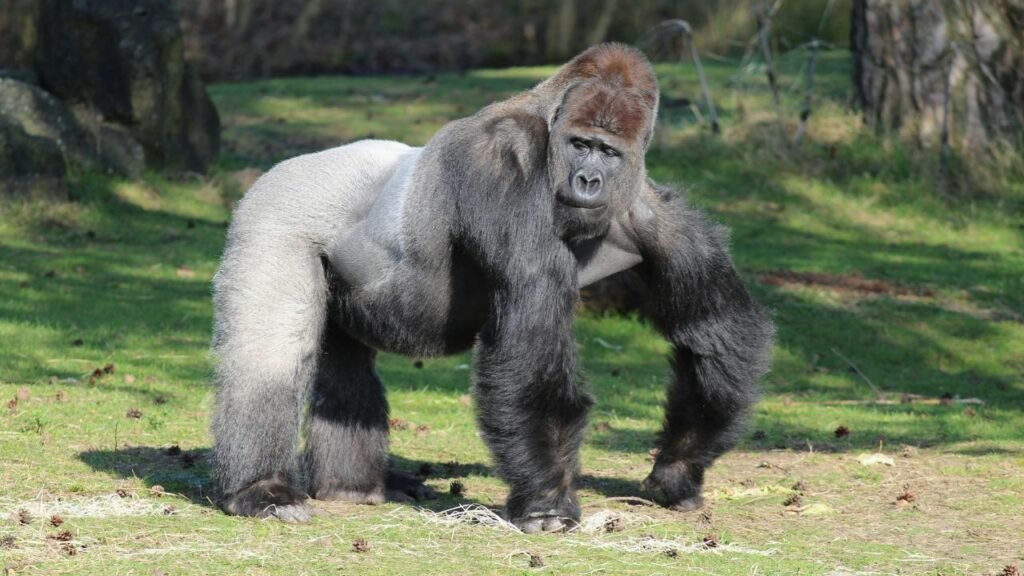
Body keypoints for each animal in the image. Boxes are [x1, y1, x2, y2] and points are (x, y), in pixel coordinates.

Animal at [210, 43, 774, 532]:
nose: (588, 181)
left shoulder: (658, 216)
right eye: (580, 144)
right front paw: (547, 501)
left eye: (608, 153)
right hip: (275, 207)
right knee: (271, 350)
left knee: (347, 370)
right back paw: (262, 489)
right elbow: (530, 347)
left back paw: (352, 487)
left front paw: (676, 470)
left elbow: (716, 333)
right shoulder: (506, 156)